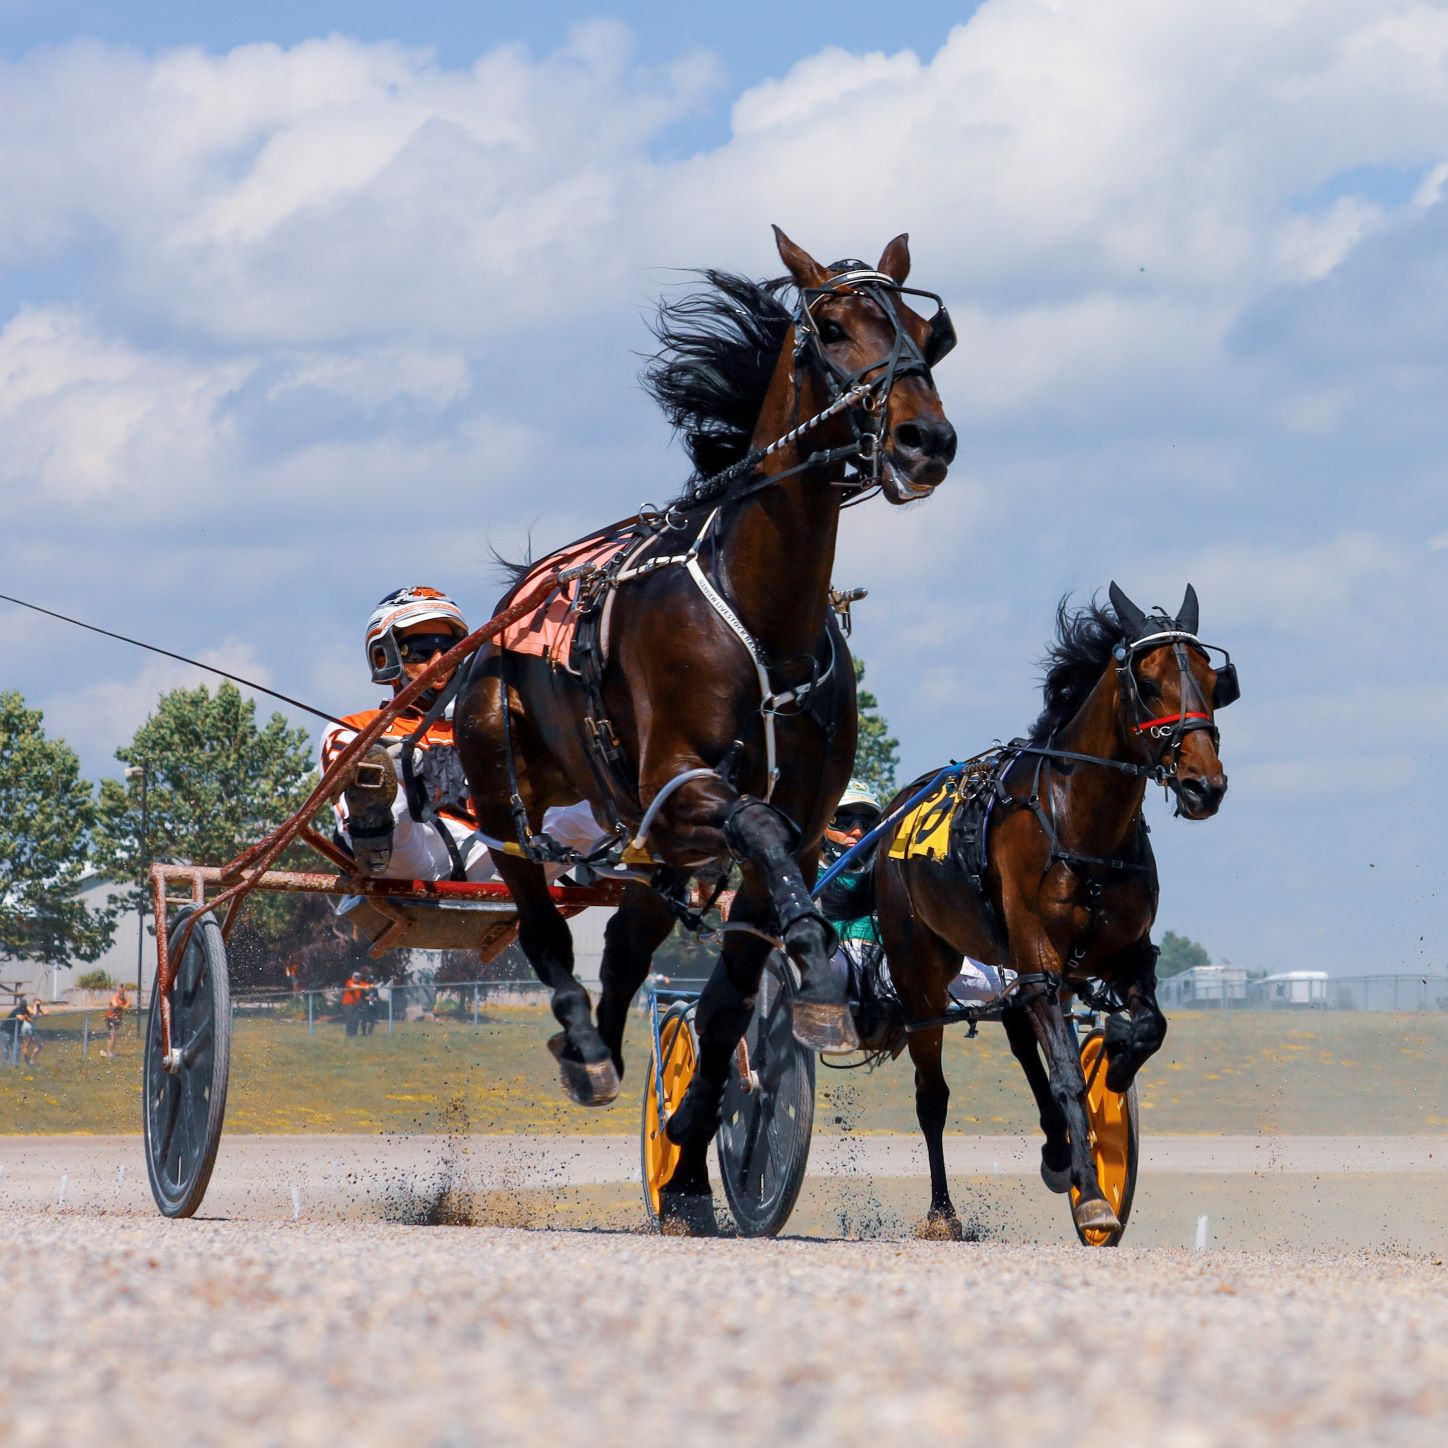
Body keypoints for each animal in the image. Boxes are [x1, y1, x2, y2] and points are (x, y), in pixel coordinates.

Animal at [453, 229, 958, 1217]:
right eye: (830, 329)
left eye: (926, 333)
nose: (927, 440)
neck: (761, 615)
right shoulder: (685, 785)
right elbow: (751, 826)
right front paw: (814, 964)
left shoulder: (788, 830)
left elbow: (729, 998)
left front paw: (693, 1147)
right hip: (501, 771)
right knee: (539, 918)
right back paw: (583, 1044)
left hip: (655, 848)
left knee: (621, 946)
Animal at [872, 582, 1236, 1237]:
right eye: (1149, 684)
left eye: (1209, 679)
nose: (1205, 786)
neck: (1079, 823)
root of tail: (898, 809)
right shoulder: (1041, 957)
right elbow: (1066, 1075)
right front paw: (1093, 1195)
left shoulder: (1123, 955)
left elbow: (1148, 1028)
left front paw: (1115, 1063)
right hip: (920, 971)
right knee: (931, 1093)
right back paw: (943, 1212)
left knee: (1021, 1036)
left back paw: (1056, 1148)